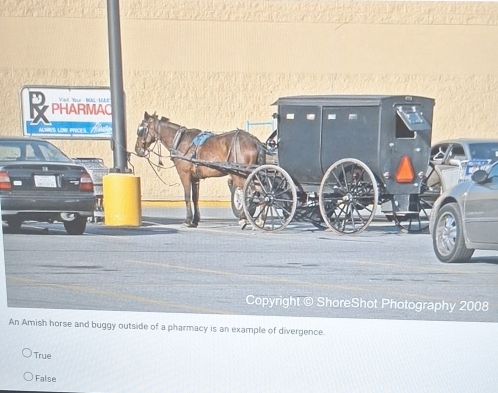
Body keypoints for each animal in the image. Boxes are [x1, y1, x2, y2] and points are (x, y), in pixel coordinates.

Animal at [132, 110, 264, 227]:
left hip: (239, 175)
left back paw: (244, 218)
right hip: (254, 175)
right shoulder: (195, 178)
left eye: (141, 129)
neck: (180, 141)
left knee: (251, 193)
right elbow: (195, 198)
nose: (137, 149)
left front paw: (188, 220)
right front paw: (195, 220)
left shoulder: (184, 174)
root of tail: (254, 141)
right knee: (262, 193)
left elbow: (187, 196)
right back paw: (260, 220)